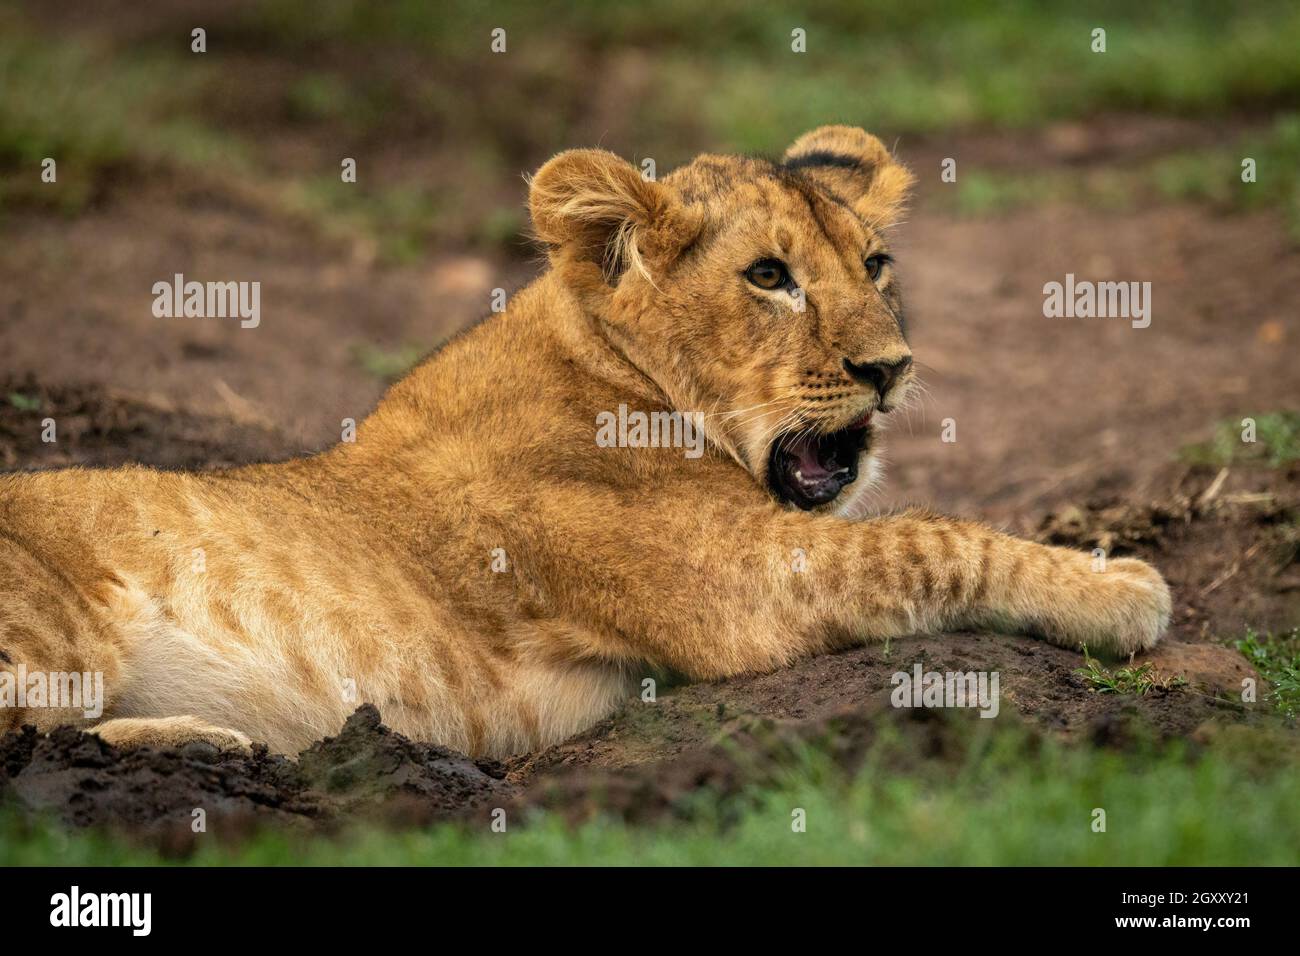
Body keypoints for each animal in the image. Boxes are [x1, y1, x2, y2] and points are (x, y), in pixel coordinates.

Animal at [0, 126, 1171, 757]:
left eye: (875, 263)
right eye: (769, 276)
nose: (891, 367)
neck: (614, 372)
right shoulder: (739, 587)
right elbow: (934, 540)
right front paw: (1116, 587)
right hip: (54, 631)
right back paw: (214, 742)